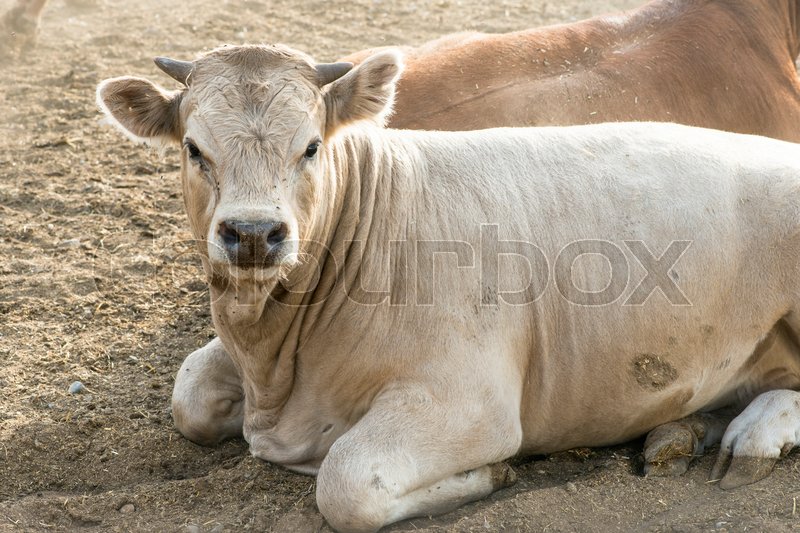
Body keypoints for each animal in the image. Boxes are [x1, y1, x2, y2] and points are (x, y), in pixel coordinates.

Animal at [96, 44, 800, 532]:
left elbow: (347, 482)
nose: (251, 234)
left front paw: (491, 473)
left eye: (312, 146)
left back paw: (754, 437)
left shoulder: (471, 401)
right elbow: (189, 393)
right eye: (193, 148)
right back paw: (681, 433)